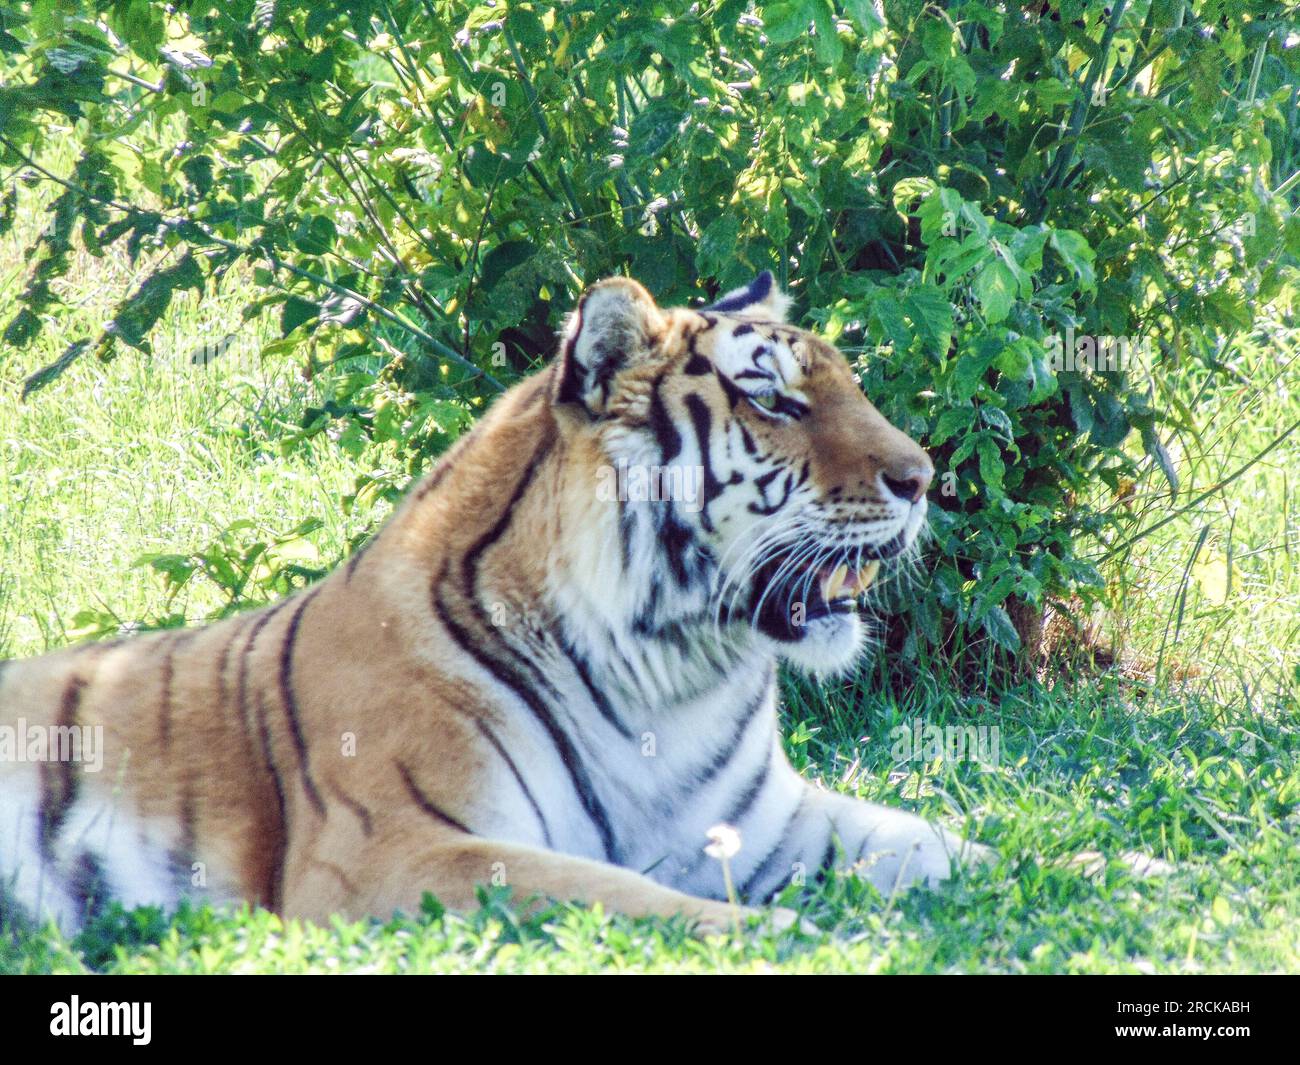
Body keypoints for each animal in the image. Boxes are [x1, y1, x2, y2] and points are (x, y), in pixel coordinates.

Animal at [0, 272, 988, 936]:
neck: (672, 674)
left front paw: (1026, 859)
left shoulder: (767, 822)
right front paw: (792, 937)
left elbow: (938, 843)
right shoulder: (393, 852)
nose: (923, 478)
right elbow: (624, 893)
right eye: (773, 400)